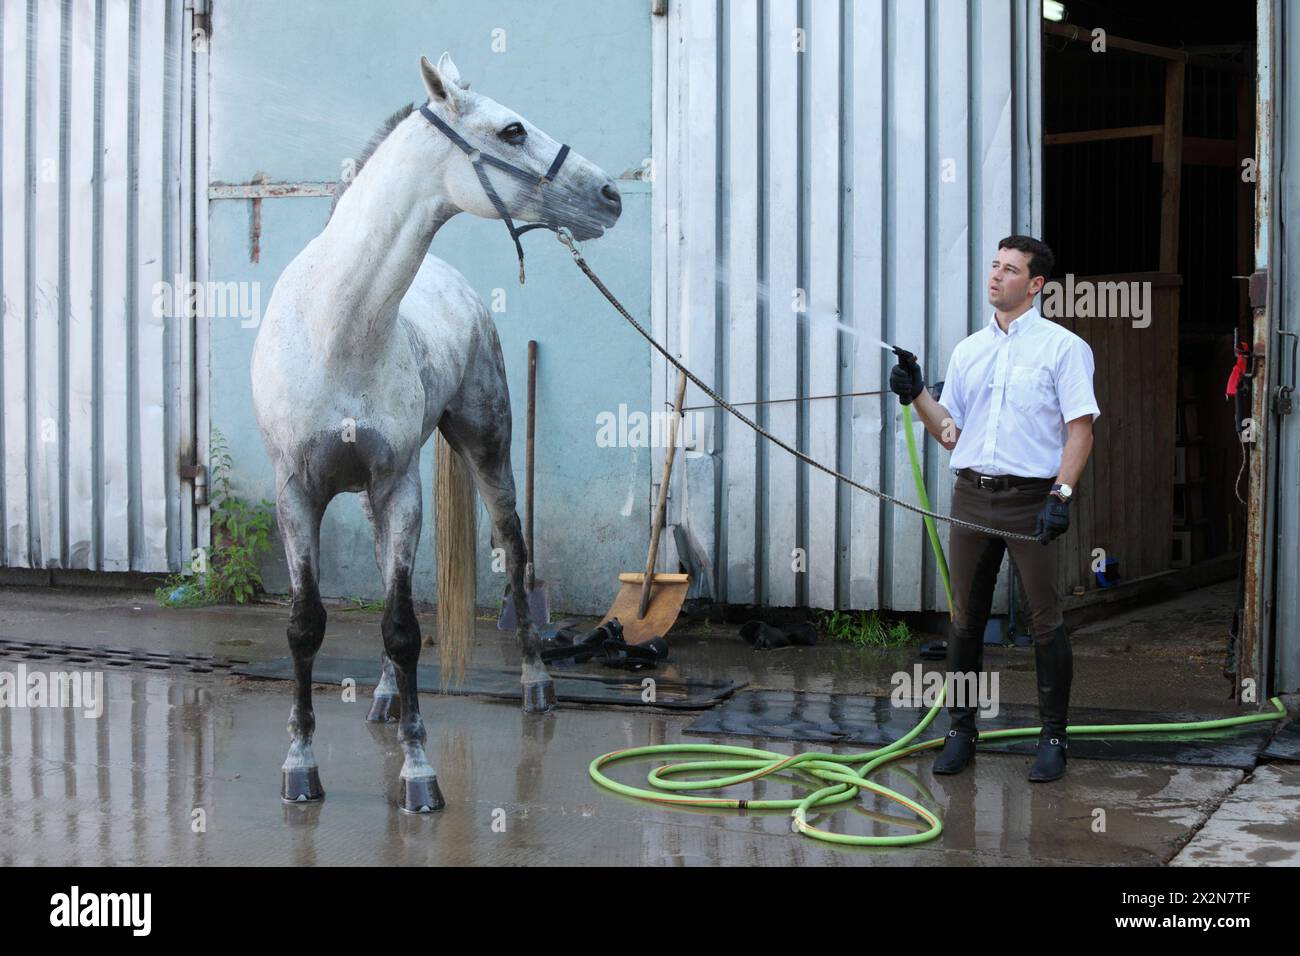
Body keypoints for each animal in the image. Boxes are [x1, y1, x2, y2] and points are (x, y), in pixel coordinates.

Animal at [250, 53, 622, 812]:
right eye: (511, 129)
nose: (609, 194)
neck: (338, 327)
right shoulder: (297, 492)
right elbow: (306, 625)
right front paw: (300, 767)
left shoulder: (400, 488)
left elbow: (402, 627)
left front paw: (419, 775)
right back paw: (385, 700)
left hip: (488, 450)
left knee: (515, 551)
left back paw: (536, 683)